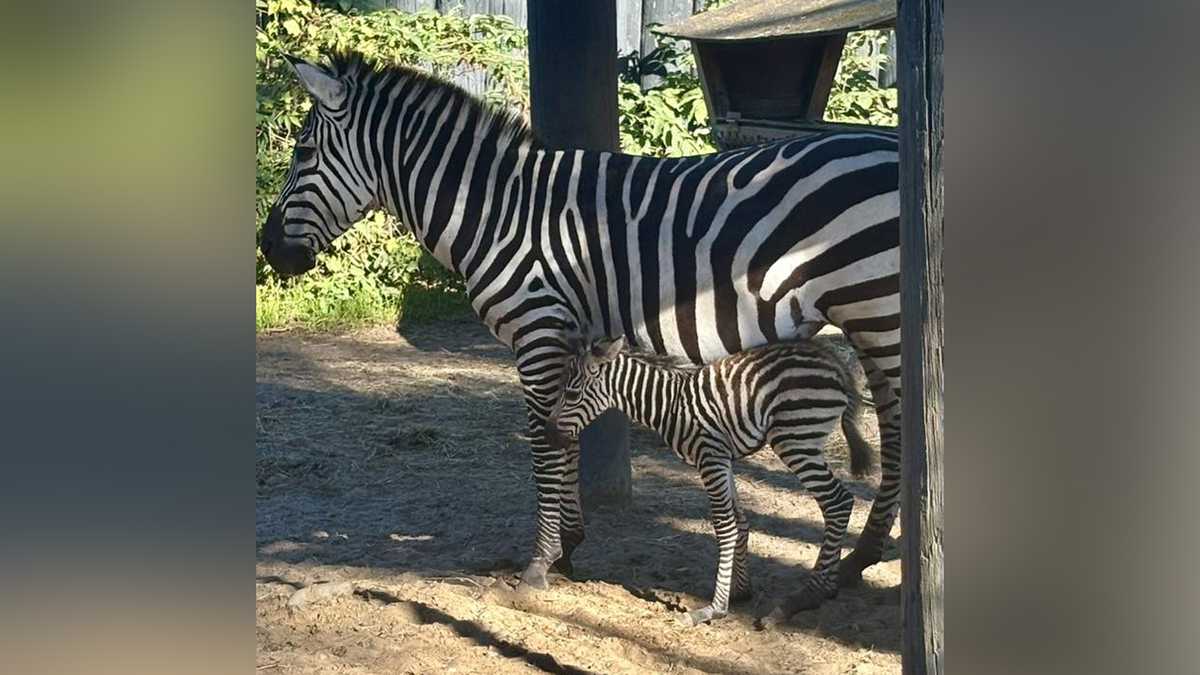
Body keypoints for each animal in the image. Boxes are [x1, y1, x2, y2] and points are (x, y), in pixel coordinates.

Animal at [546, 335, 875, 626]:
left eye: (571, 395)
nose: (551, 436)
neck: (669, 405)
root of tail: (831, 359)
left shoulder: (710, 456)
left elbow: (724, 526)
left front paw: (713, 609)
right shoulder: (723, 458)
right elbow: (740, 521)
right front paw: (739, 591)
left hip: (795, 438)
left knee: (837, 502)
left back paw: (809, 595)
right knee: (838, 502)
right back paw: (828, 586)